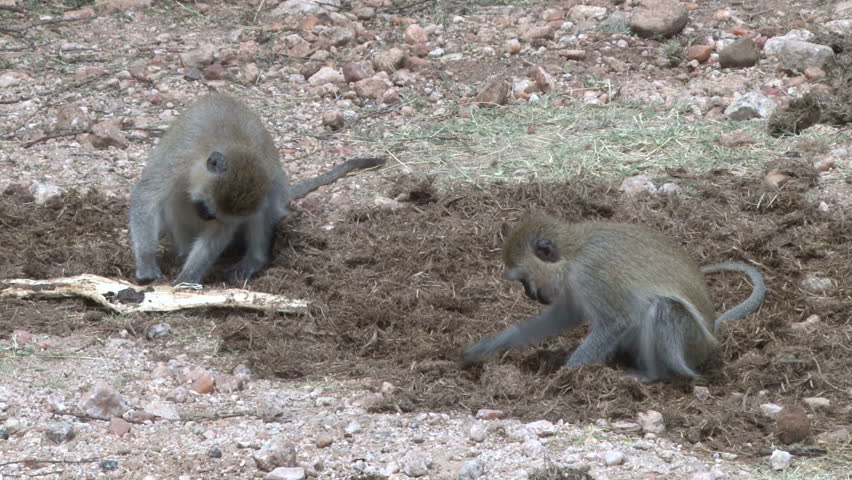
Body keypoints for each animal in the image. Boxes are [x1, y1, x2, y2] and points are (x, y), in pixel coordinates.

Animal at [129, 93, 385, 286]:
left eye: (211, 213)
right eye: (203, 207)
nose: (205, 217)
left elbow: (221, 231)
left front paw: (189, 275)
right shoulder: (177, 161)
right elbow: (145, 197)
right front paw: (147, 263)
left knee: (266, 205)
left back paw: (254, 260)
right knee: (173, 201)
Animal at [462, 214, 765, 382]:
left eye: (524, 280)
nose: (529, 294)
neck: (573, 251)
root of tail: (712, 339)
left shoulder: (590, 273)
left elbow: (615, 322)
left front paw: (565, 375)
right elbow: (564, 316)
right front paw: (489, 345)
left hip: (693, 344)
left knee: (663, 309)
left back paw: (652, 376)